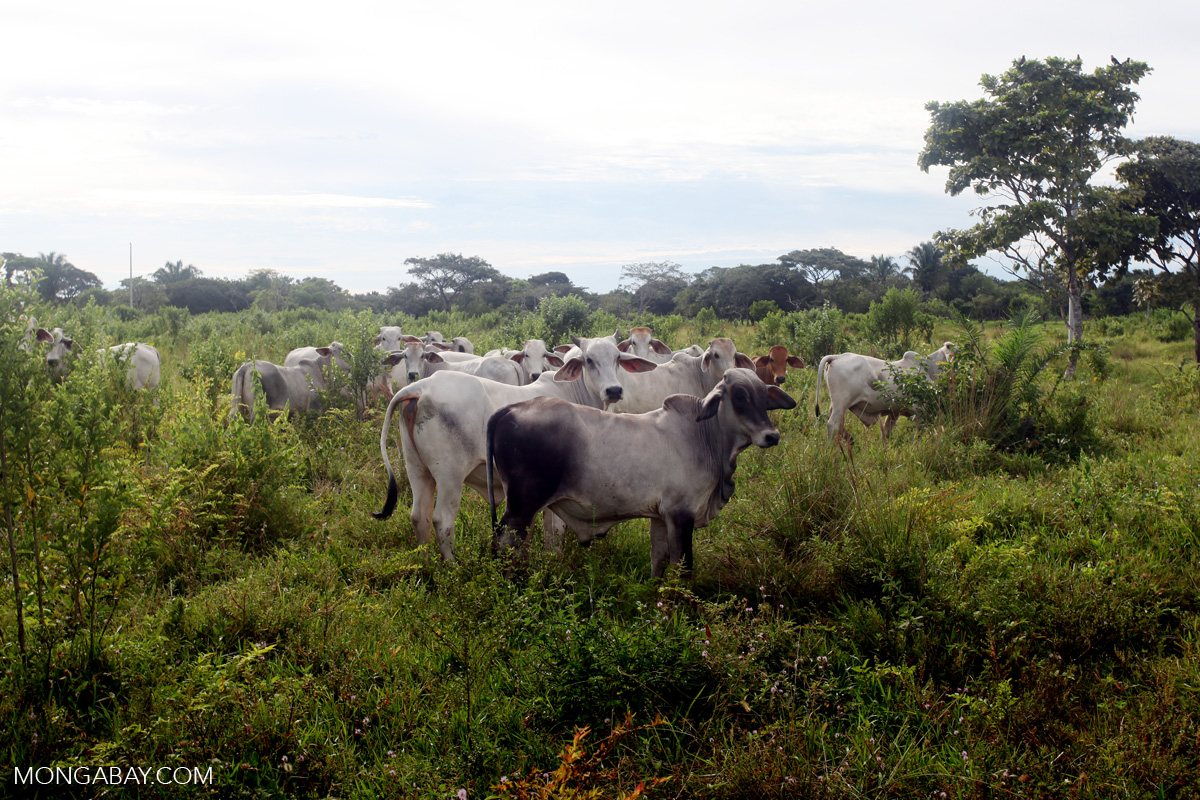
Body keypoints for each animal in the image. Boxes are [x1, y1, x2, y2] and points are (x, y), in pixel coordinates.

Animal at [372, 334, 658, 561]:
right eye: (589, 360)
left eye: (618, 357)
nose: (614, 390)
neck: (572, 391)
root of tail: (419, 387)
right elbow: (556, 531)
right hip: (449, 475)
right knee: (442, 520)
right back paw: (452, 569)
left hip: (417, 469)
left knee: (419, 516)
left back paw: (427, 565)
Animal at [486, 368, 796, 577]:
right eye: (740, 397)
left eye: (764, 397)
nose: (771, 436)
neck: (705, 435)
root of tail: (511, 409)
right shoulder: (681, 514)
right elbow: (683, 567)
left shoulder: (660, 517)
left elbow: (659, 560)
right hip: (522, 507)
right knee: (506, 544)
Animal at [814, 342, 955, 449]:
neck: (930, 369)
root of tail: (837, 357)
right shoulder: (919, 410)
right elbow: (920, 432)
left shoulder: (894, 412)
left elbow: (886, 432)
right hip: (841, 403)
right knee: (832, 424)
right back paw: (831, 449)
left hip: (837, 405)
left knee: (837, 423)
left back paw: (851, 440)